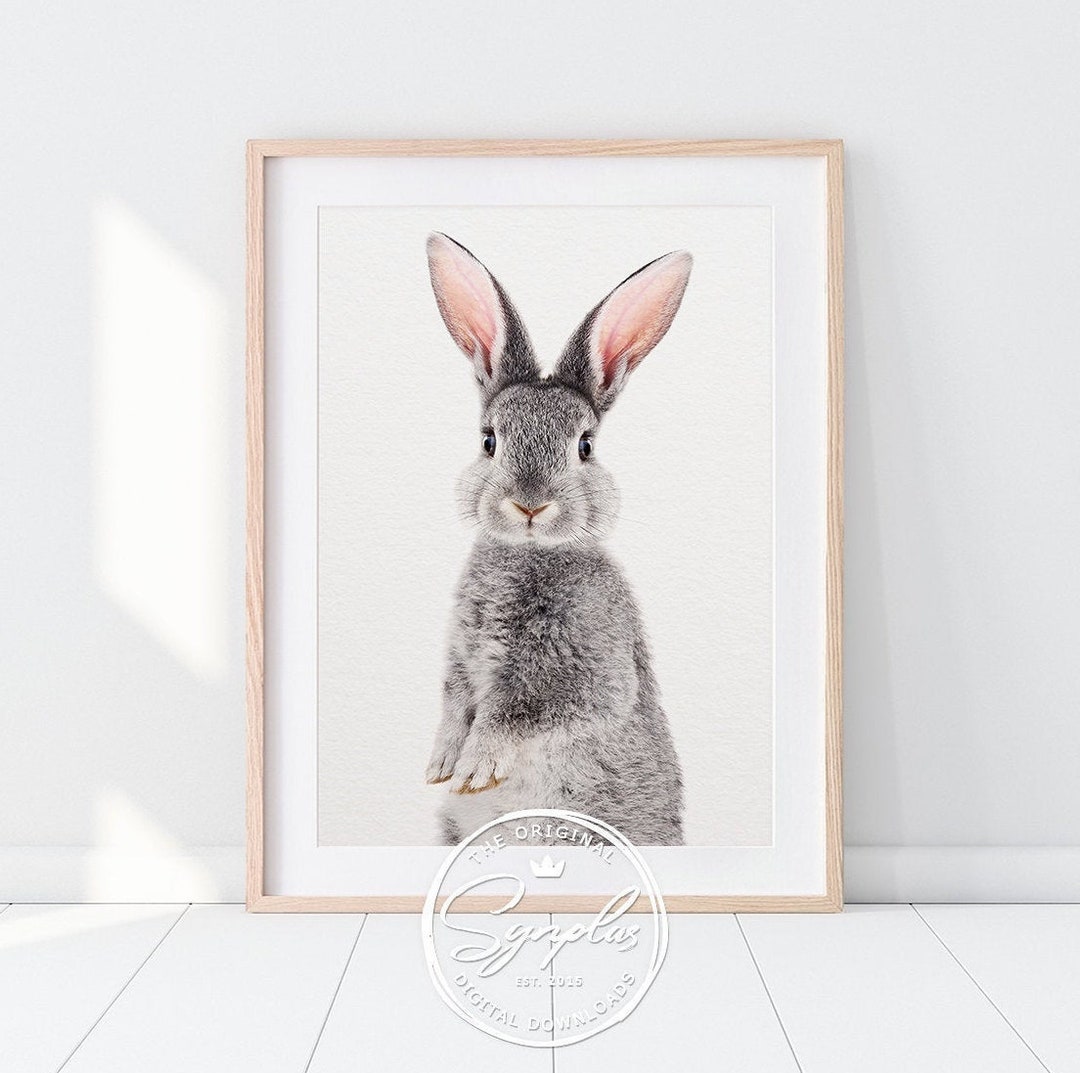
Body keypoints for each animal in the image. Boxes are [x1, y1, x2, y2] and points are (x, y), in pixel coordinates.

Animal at [423, 231, 691, 847]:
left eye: (585, 446)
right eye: (489, 440)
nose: (529, 502)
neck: (526, 554)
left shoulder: (589, 676)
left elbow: (519, 712)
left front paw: (474, 766)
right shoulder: (459, 658)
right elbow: (454, 700)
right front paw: (442, 763)